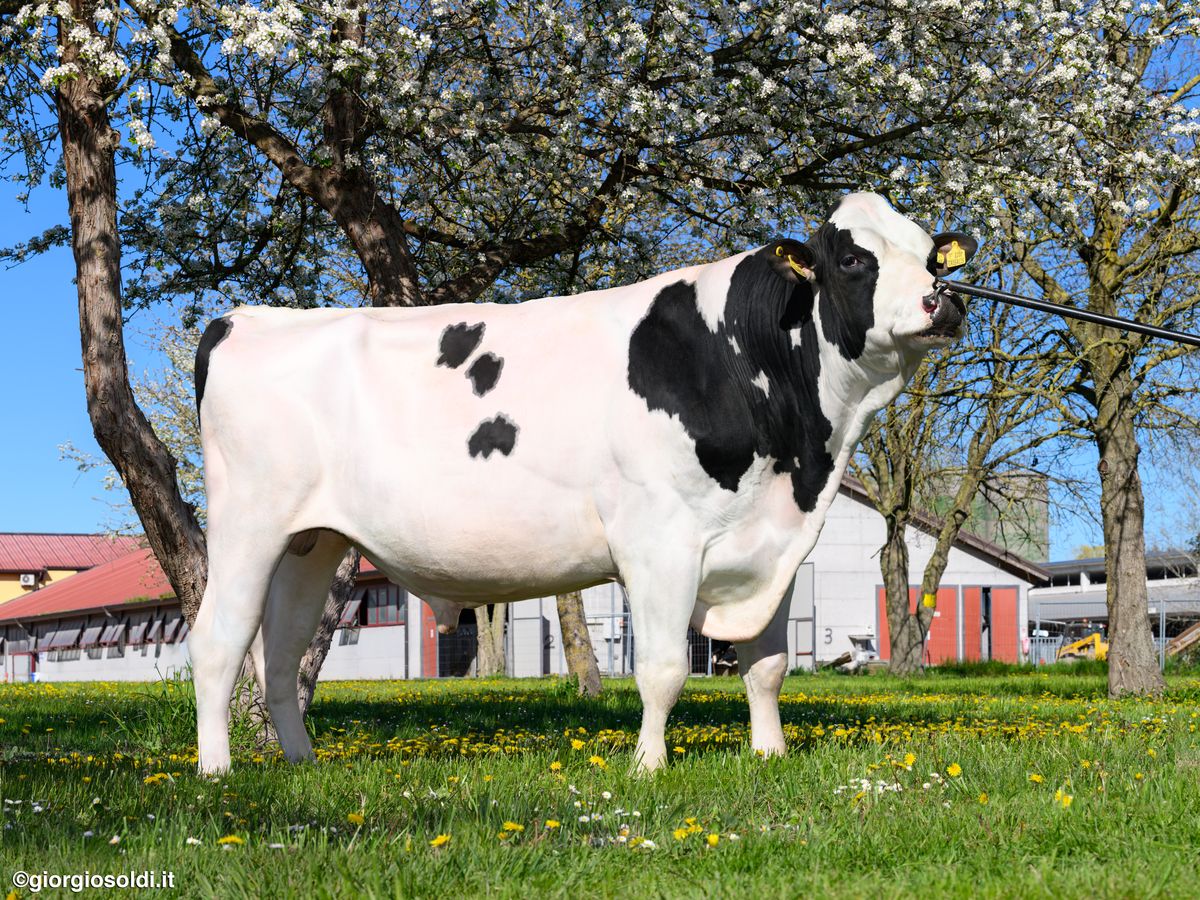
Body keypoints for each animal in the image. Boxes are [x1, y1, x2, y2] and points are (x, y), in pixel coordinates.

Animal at [189, 192, 976, 774]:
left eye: (931, 253)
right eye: (852, 258)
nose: (943, 300)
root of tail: (242, 319)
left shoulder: (774, 543)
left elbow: (769, 665)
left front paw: (770, 754)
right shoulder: (658, 540)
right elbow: (662, 667)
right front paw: (648, 767)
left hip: (310, 540)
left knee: (281, 652)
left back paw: (300, 762)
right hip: (247, 525)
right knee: (219, 641)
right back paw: (216, 770)